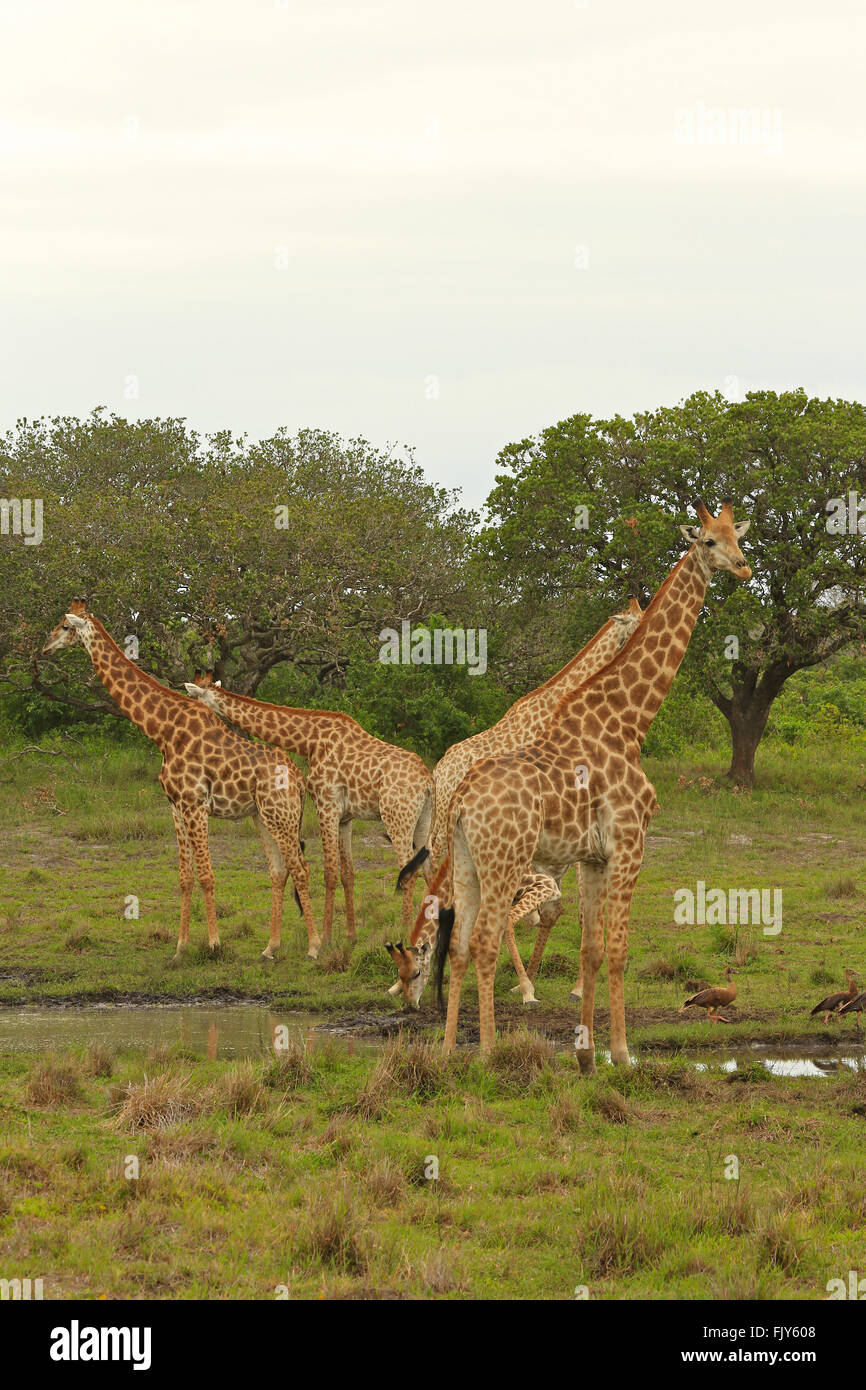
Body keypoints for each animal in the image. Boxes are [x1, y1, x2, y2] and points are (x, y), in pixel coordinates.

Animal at [41, 602, 319, 963]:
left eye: (64, 626)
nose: (45, 647)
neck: (163, 730)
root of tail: (298, 779)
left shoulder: (195, 803)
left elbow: (207, 875)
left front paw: (214, 945)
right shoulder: (175, 806)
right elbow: (185, 877)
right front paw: (180, 948)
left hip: (281, 815)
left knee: (300, 868)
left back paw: (314, 946)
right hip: (263, 816)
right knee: (279, 870)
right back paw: (270, 947)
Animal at [183, 675, 435, 943]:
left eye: (192, 698)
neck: (309, 741)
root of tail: (428, 782)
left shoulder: (326, 804)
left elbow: (329, 872)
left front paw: (324, 937)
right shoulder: (345, 817)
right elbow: (347, 873)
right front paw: (350, 935)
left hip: (397, 819)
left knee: (409, 871)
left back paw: (406, 932)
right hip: (423, 821)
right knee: (429, 868)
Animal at [431, 501, 752, 1067]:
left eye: (737, 535)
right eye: (708, 541)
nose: (743, 568)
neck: (630, 721)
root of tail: (463, 800)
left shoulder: (592, 857)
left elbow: (591, 949)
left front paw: (586, 1055)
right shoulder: (630, 842)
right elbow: (619, 949)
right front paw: (621, 1054)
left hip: (468, 861)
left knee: (460, 942)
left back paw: (449, 1052)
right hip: (504, 860)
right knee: (488, 938)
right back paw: (488, 1053)